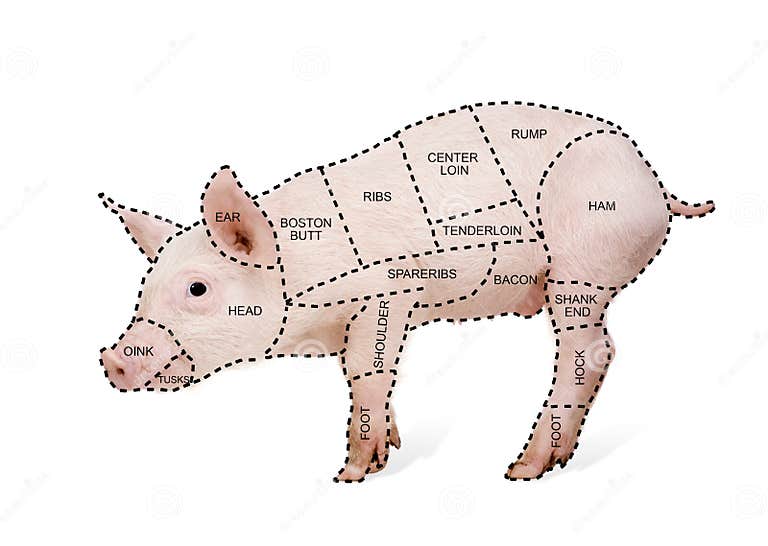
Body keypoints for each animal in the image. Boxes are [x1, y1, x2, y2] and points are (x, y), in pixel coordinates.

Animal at [99, 101, 714, 482]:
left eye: (197, 288)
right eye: (144, 289)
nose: (112, 359)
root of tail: (653, 181)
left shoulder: (385, 297)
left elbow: (366, 372)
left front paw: (352, 473)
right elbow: (365, 376)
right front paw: (390, 445)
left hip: (582, 266)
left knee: (590, 351)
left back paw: (522, 469)